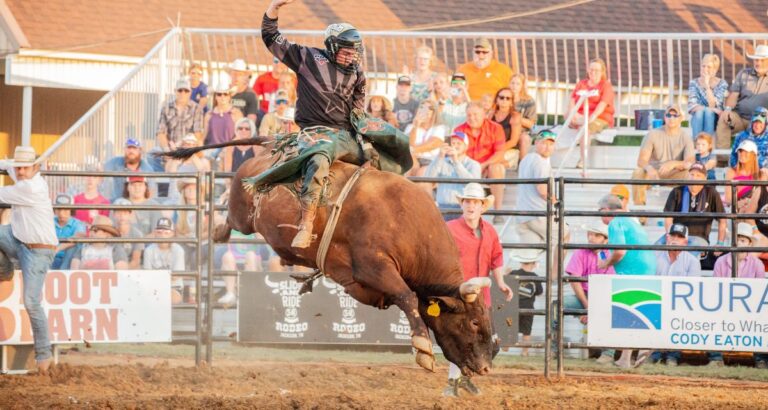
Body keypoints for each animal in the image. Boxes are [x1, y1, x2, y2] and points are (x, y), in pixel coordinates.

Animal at [163, 137, 495, 377]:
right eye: (474, 322)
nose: (485, 367)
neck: (405, 223)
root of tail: (270, 148)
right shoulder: (374, 266)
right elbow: (407, 296)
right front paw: (423, 348)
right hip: (243, 213)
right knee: (231, 219)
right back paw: (217, 230)